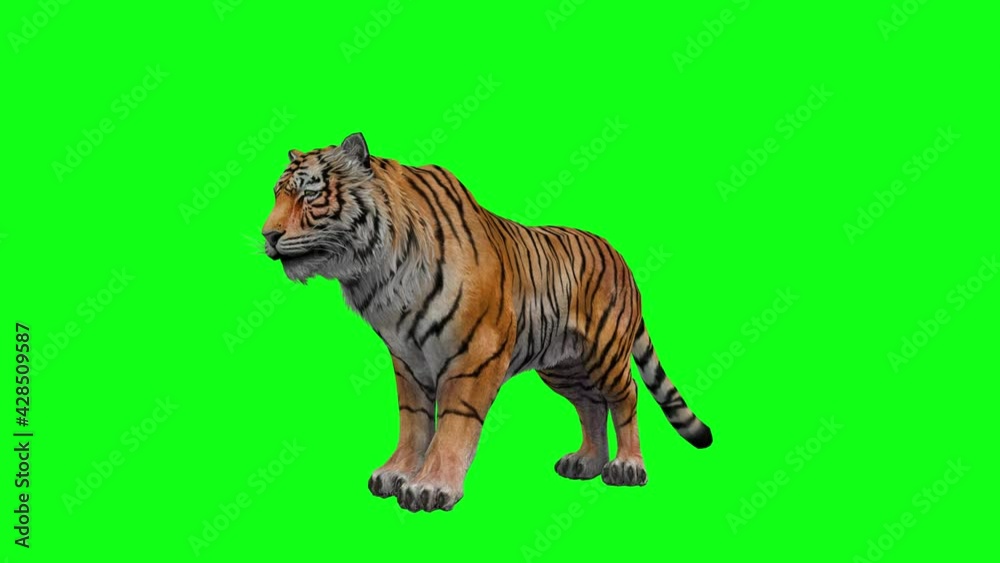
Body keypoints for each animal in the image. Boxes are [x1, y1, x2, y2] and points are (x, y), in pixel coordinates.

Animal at [261, 132, 713, 512]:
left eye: (310, 194)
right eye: (277, 195)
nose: (267, 235)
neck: (377, 272)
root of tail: (620, 257)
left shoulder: (474, 354)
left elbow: (453, 424)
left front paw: (431, 487)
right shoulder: (407, 358)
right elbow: (413, 419)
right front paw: (395, 473)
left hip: (605, 351)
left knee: (626, 396)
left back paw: (627, 466)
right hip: (564, 365)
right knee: (590, 403)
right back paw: (586, 462)